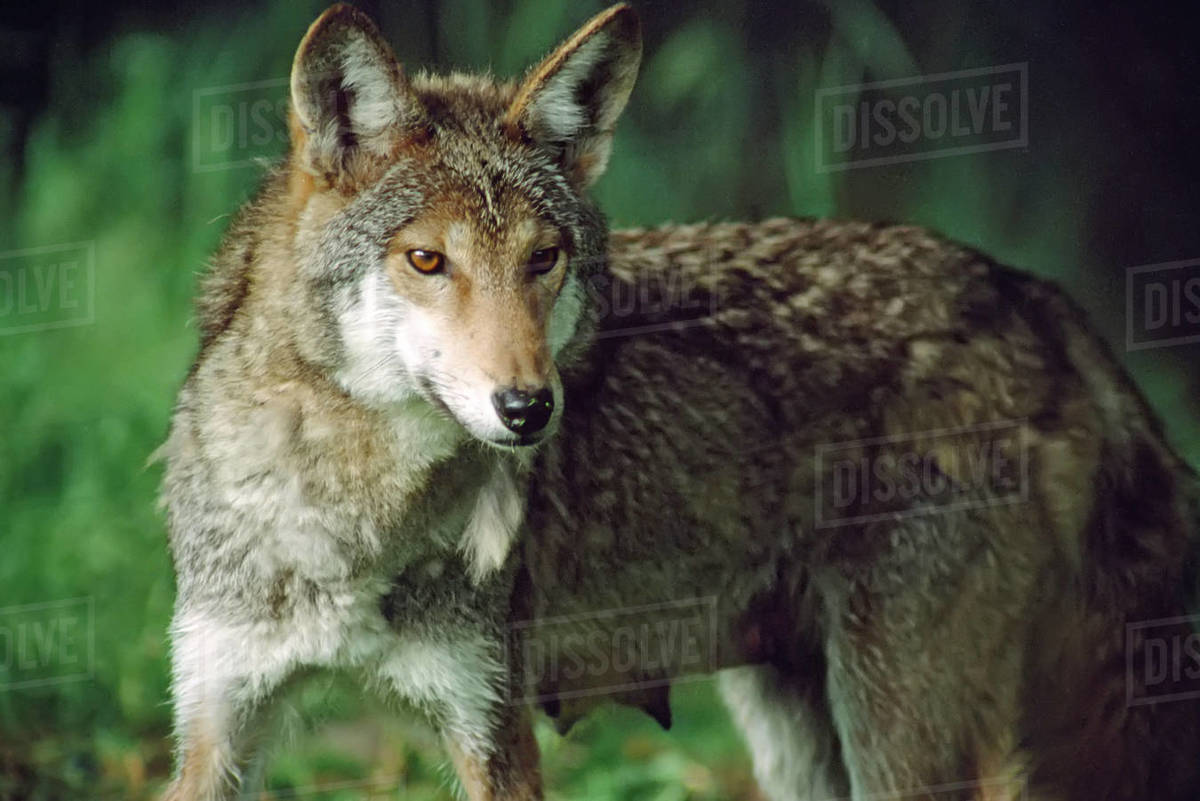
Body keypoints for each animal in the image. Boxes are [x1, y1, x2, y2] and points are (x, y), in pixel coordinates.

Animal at [159, 3, 1200, 800]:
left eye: (545, 258)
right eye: (426, 260)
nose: (530, 409)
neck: (342, 516)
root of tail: (1023, 289)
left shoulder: (491, 726)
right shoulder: (216, 728)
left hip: (893, 726)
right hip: (799, 734)